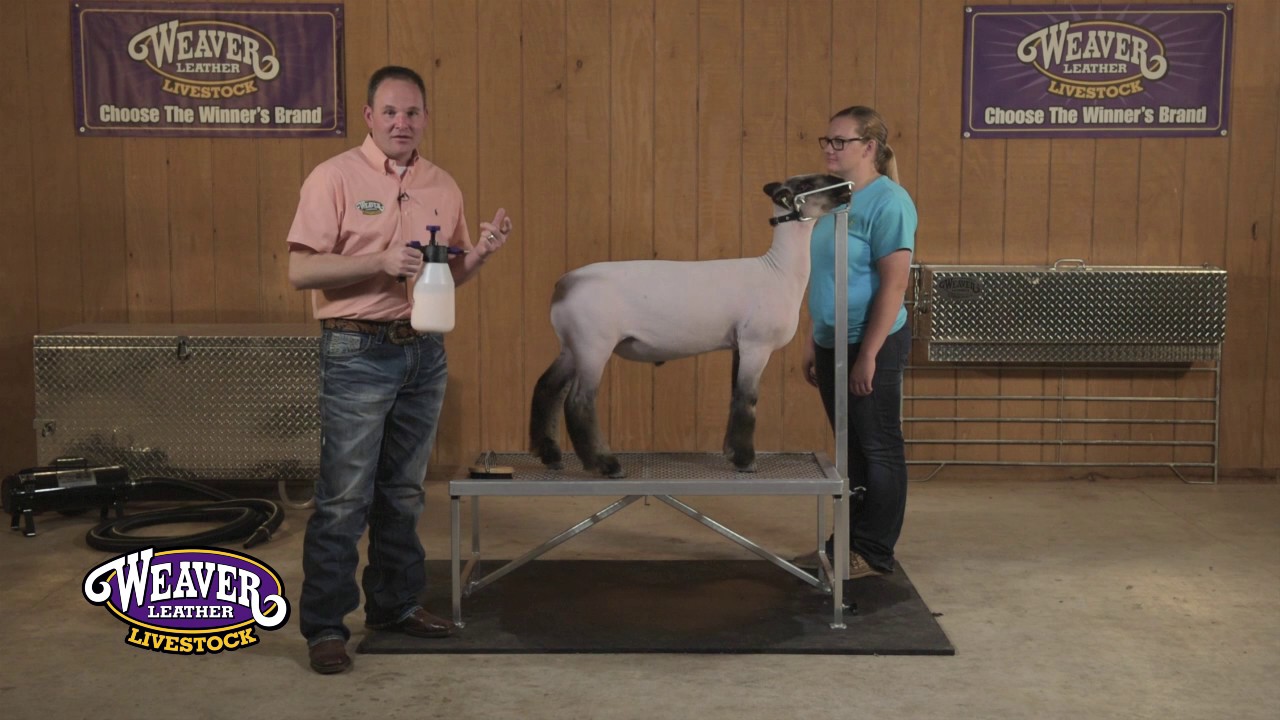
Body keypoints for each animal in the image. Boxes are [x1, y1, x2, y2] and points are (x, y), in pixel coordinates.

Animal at [529, 173, 853, 478]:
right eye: (806, 184)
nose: (846, 186)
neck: (779, 271)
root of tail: (566, 283)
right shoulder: (756, 345)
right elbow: (747, 399)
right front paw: (746, 460)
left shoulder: (739, 345)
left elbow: (734, 395)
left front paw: (731, 452)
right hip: (593, 344)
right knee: (579, 402)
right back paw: (605, 464)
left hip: (571, 345)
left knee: (547, 387)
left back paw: (550, 455)